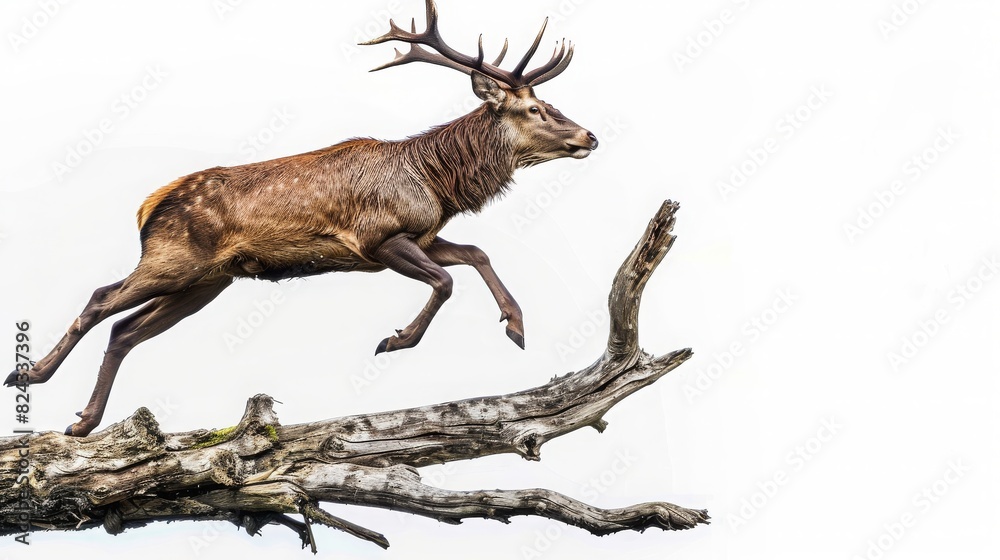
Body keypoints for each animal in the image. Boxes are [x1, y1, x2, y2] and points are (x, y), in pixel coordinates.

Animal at [5, 0, 598, 437]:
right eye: (535, 110)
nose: (588, 136)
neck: (437, 183)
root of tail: (148, 208)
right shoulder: (377, 239)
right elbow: (446, 281)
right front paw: (395, 340)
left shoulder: (424, 235)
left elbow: (476, 253)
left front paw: (516, 325)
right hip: (174, 260)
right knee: (100, 299)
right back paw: (29, 373)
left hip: (207, 282)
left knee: (125, 329)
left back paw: (83, 421)